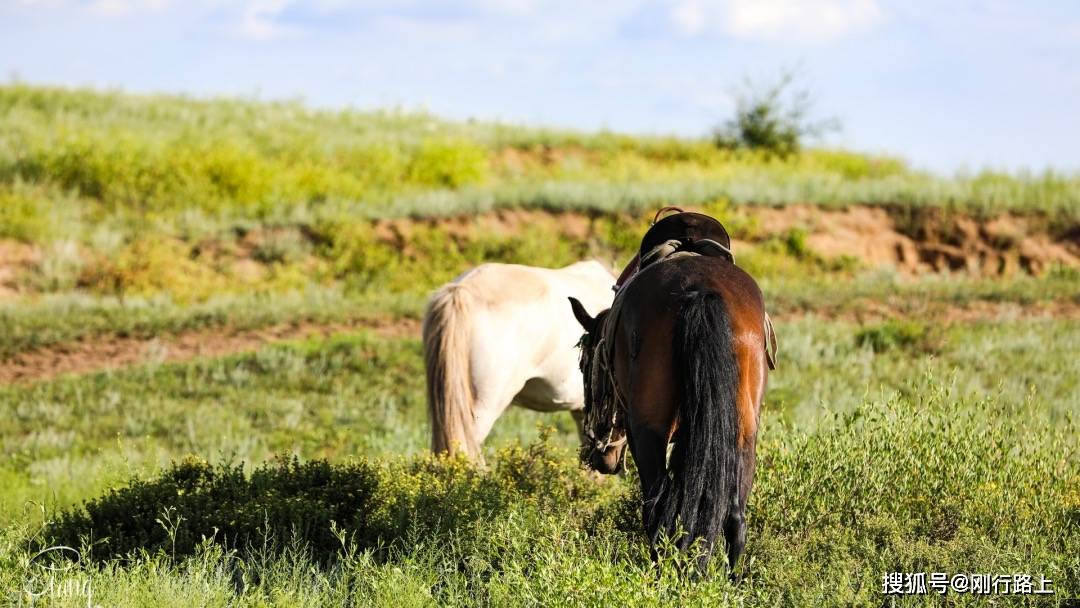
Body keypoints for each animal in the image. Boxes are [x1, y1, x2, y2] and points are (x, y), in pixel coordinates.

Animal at [569, 211, 773, 573]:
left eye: (584, 366)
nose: (600, 458)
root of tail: (700, 290)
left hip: (649, 430)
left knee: (656, 510)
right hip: (744, 428)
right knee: (734, 516)